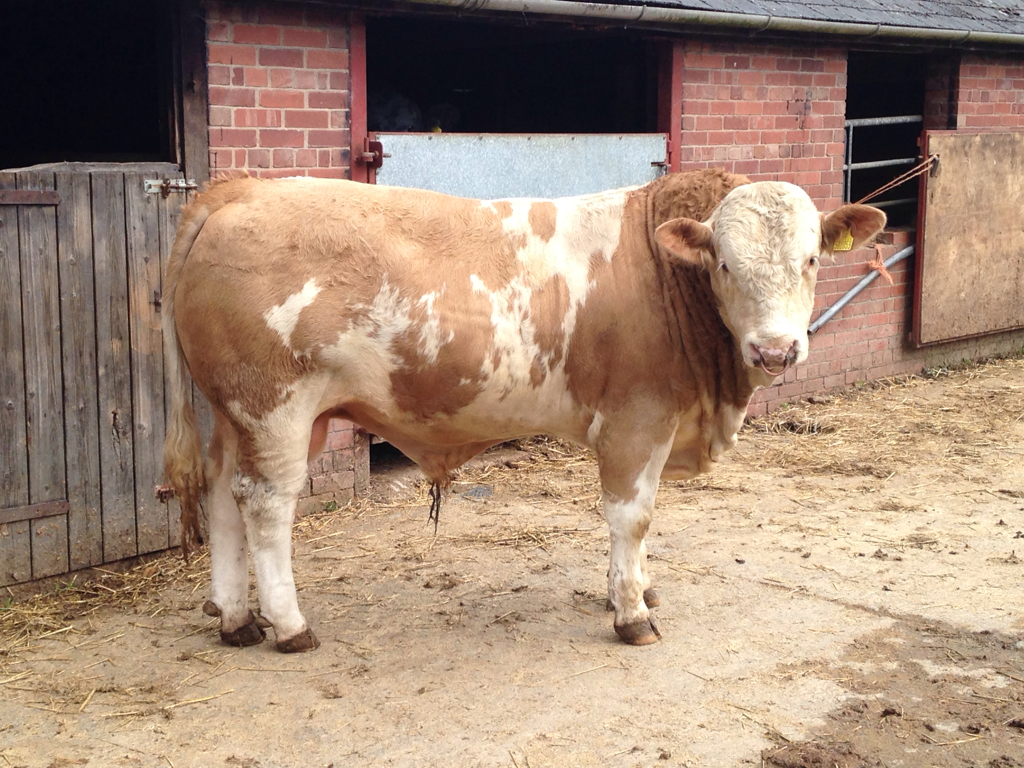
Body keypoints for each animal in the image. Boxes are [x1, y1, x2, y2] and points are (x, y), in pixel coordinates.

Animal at [162, 169, 885, 653]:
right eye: (726, 265)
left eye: (812, 258)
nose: (775, 349)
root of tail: (243, 189)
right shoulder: (636, 420)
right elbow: (632, 517)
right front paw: (631, 613)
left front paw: (635, 587)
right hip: (274, 408)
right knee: (265, 505)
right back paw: (289, 625)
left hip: (240, 415)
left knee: (224, 493)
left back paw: (236, 617)